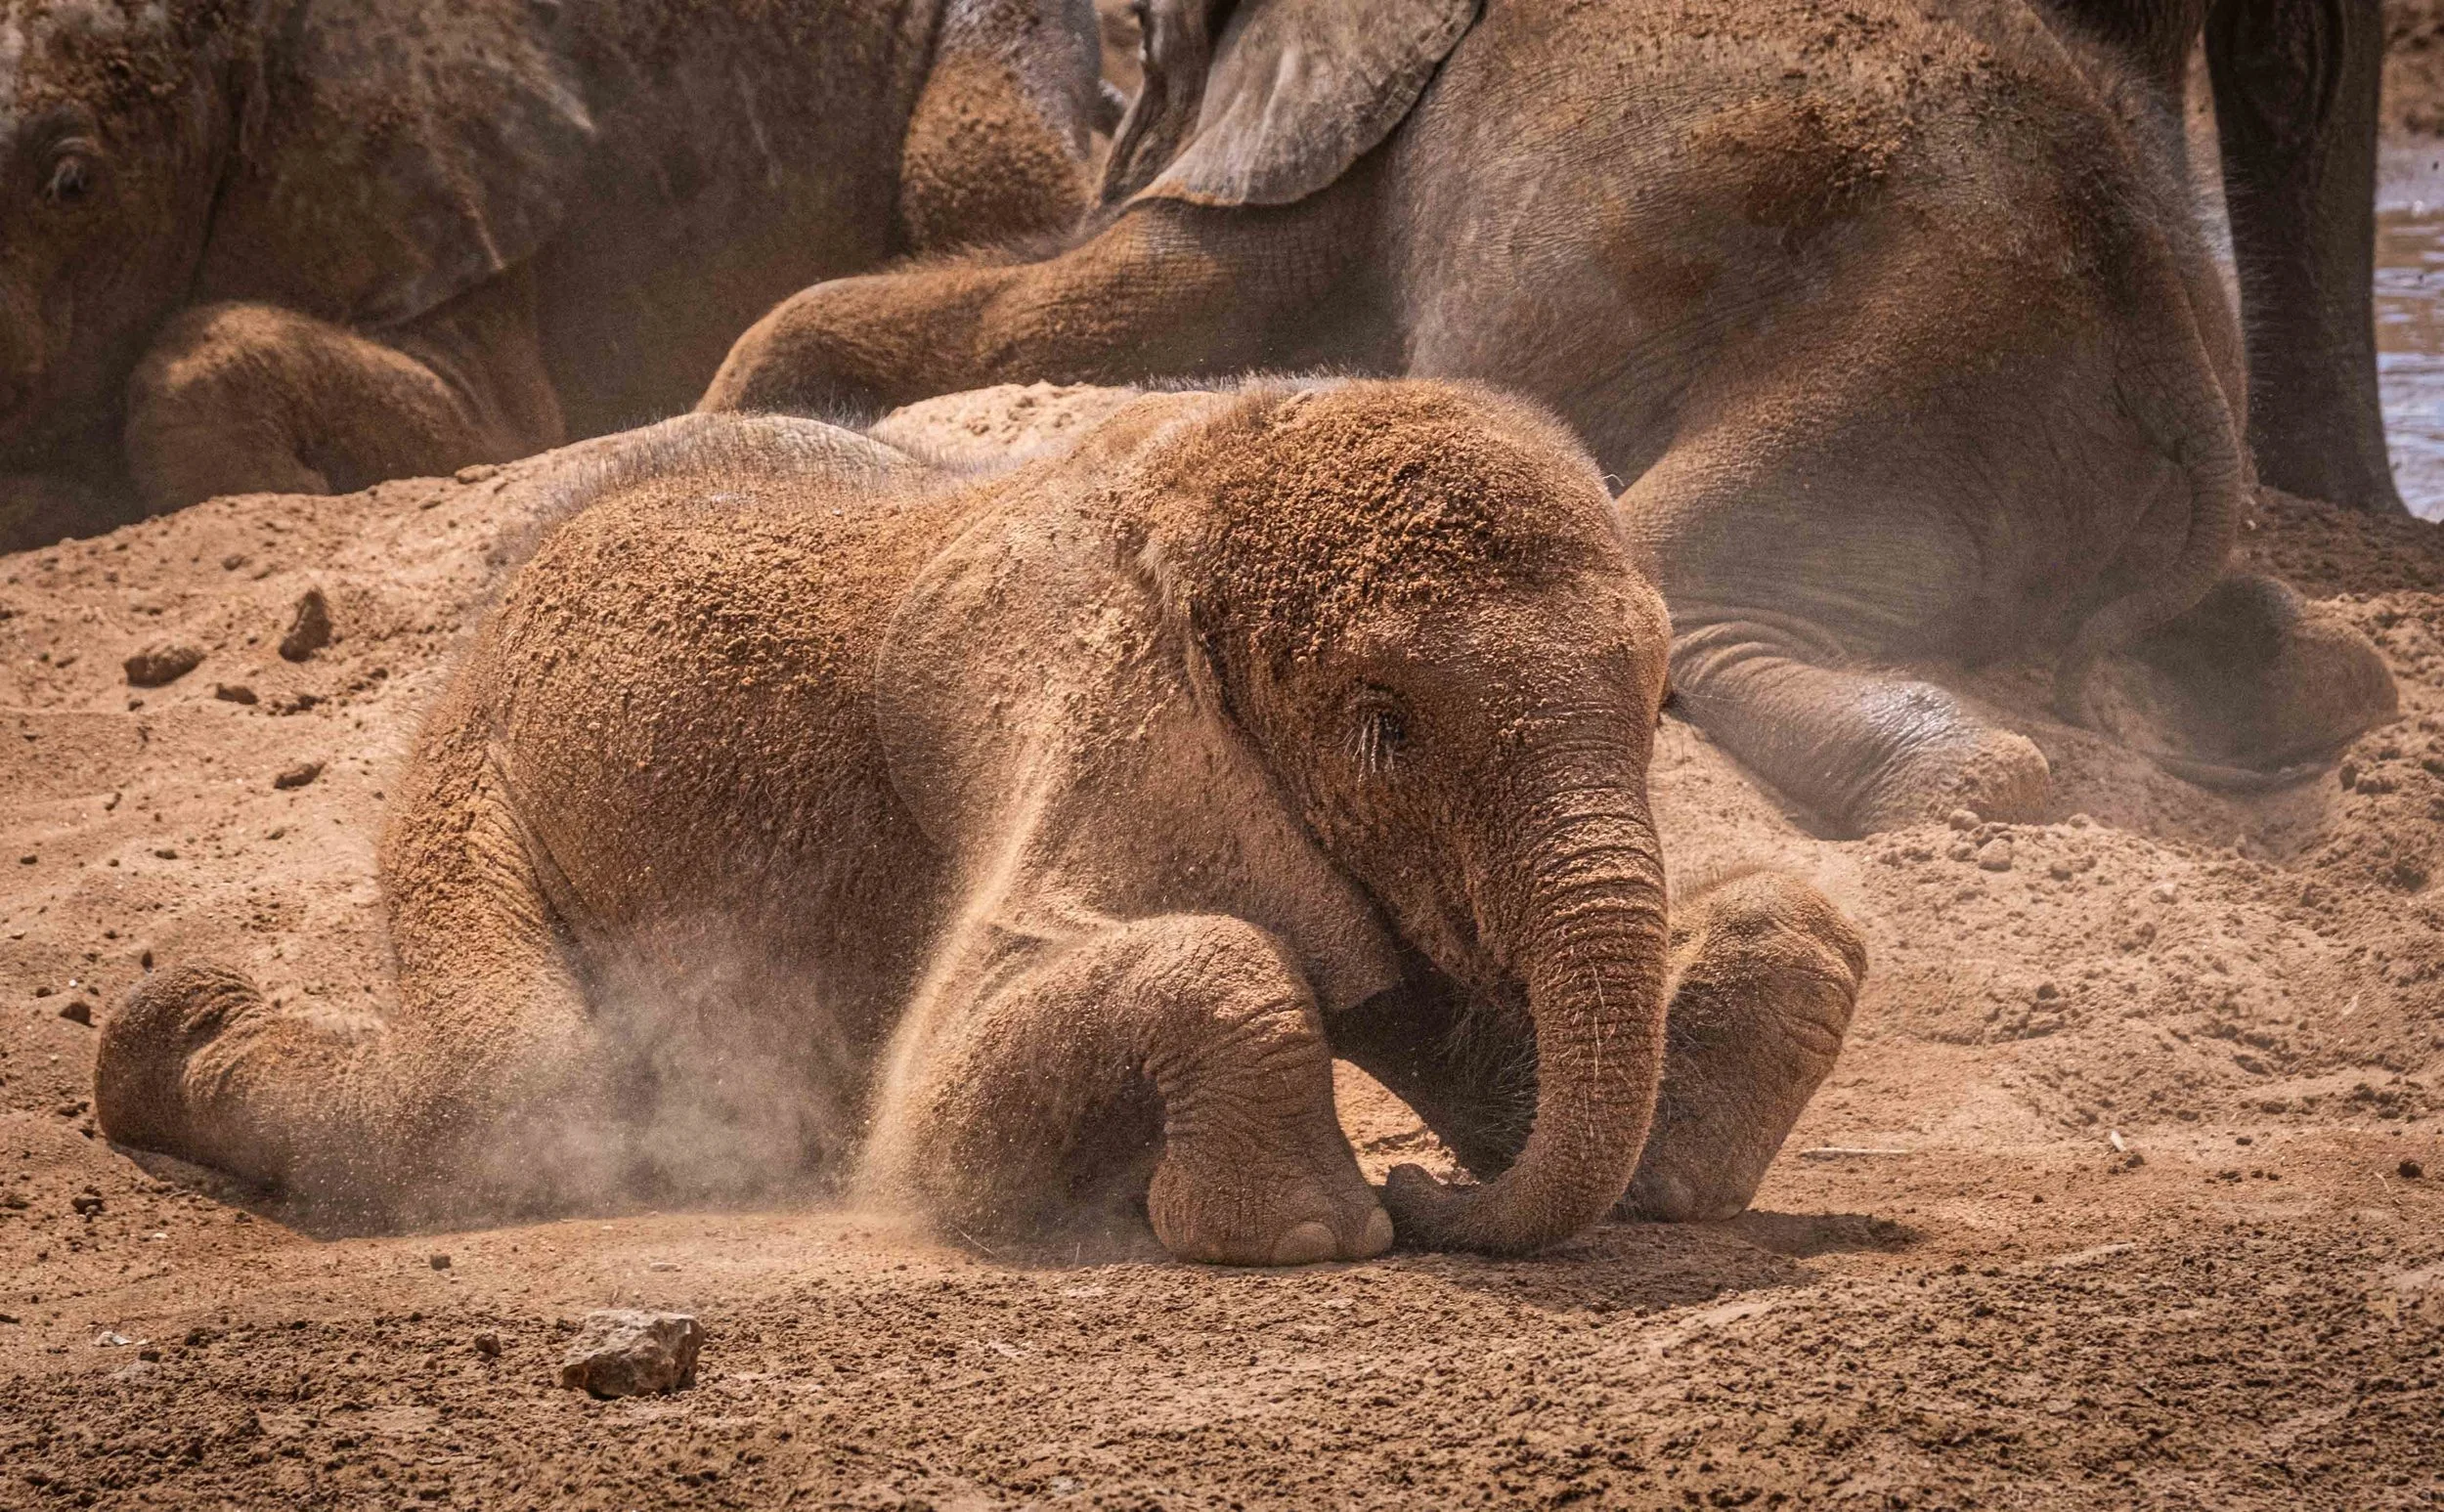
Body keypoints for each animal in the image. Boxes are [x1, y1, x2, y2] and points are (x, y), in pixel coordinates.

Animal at [96, 380, 1868, 1259]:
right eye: (1383, 725)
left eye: (1659, 697)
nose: (1437, 1200)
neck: (1208, 479)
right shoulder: (1078, 700)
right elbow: (938, 1101)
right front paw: (1313, 1232)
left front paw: (1664, 1164)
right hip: (470, 776)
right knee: (518, 1084)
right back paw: (166, 1036)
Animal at [699, 0, 2400, 836]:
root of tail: (2180, 364)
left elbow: (1149, 295)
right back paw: (2301, 705)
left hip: (1923, 368)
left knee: (1681, 565)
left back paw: (1969, 783)